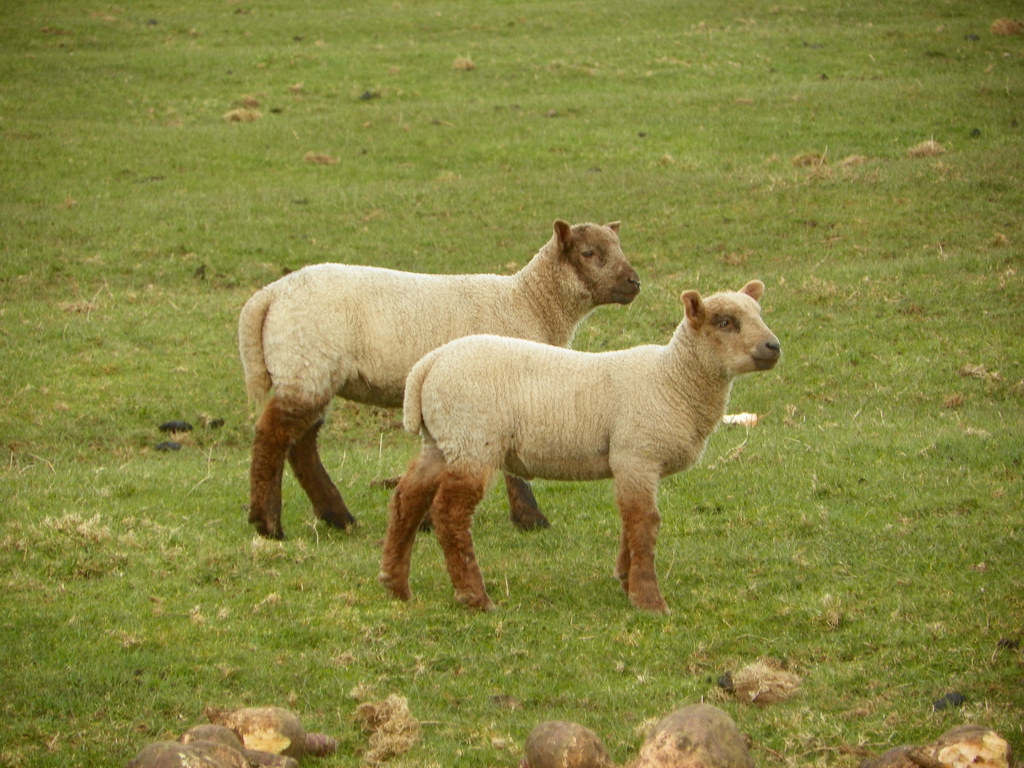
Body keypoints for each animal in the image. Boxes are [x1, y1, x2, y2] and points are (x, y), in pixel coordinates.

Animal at [238, 220, 640, 539]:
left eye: (618, 247)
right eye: (589, 253)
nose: (635, 282)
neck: (530, 303)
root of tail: (269, 295)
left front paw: (427, 521)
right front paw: (530, 519)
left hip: (311, 370)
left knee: (302, 445)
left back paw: (337, 517)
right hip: (307, 364)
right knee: (273, 436)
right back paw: (268, 524)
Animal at [378, 280, 780, 613]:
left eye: (759, 315)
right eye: (724, 322)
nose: (773, 347)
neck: (672, 380)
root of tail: (429, 365)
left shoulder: (630, 461)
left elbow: (631, 520)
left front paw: (625, 577)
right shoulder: (638, 452)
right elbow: (644, 523)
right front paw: (648, 599)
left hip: (442, 441)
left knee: (407, 498)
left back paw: (395, 584)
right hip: (474, 440)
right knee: (449, 515)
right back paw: (474, 596)